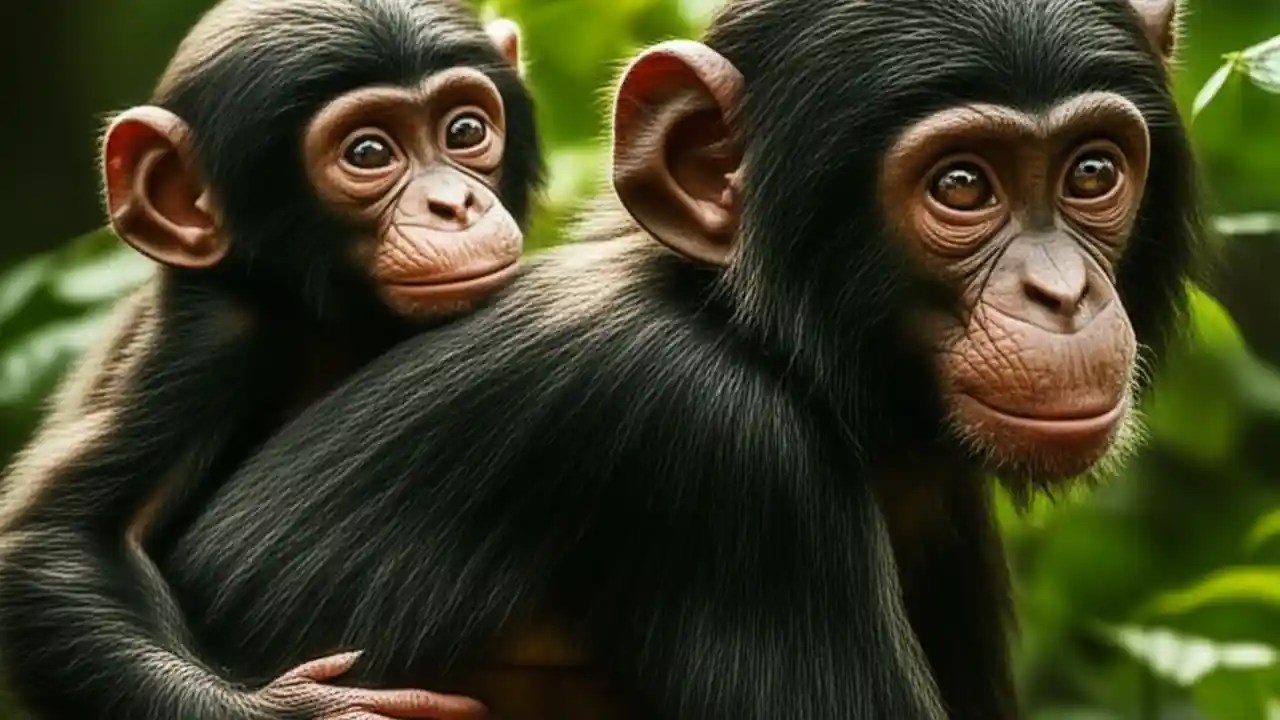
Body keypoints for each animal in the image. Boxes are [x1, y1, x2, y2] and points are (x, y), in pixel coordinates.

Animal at [0, 1, 543, 718]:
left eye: (465, 130)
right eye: (369, 152)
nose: (454, 203)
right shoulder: (207, 337)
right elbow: (60, 545)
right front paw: (304, 707)